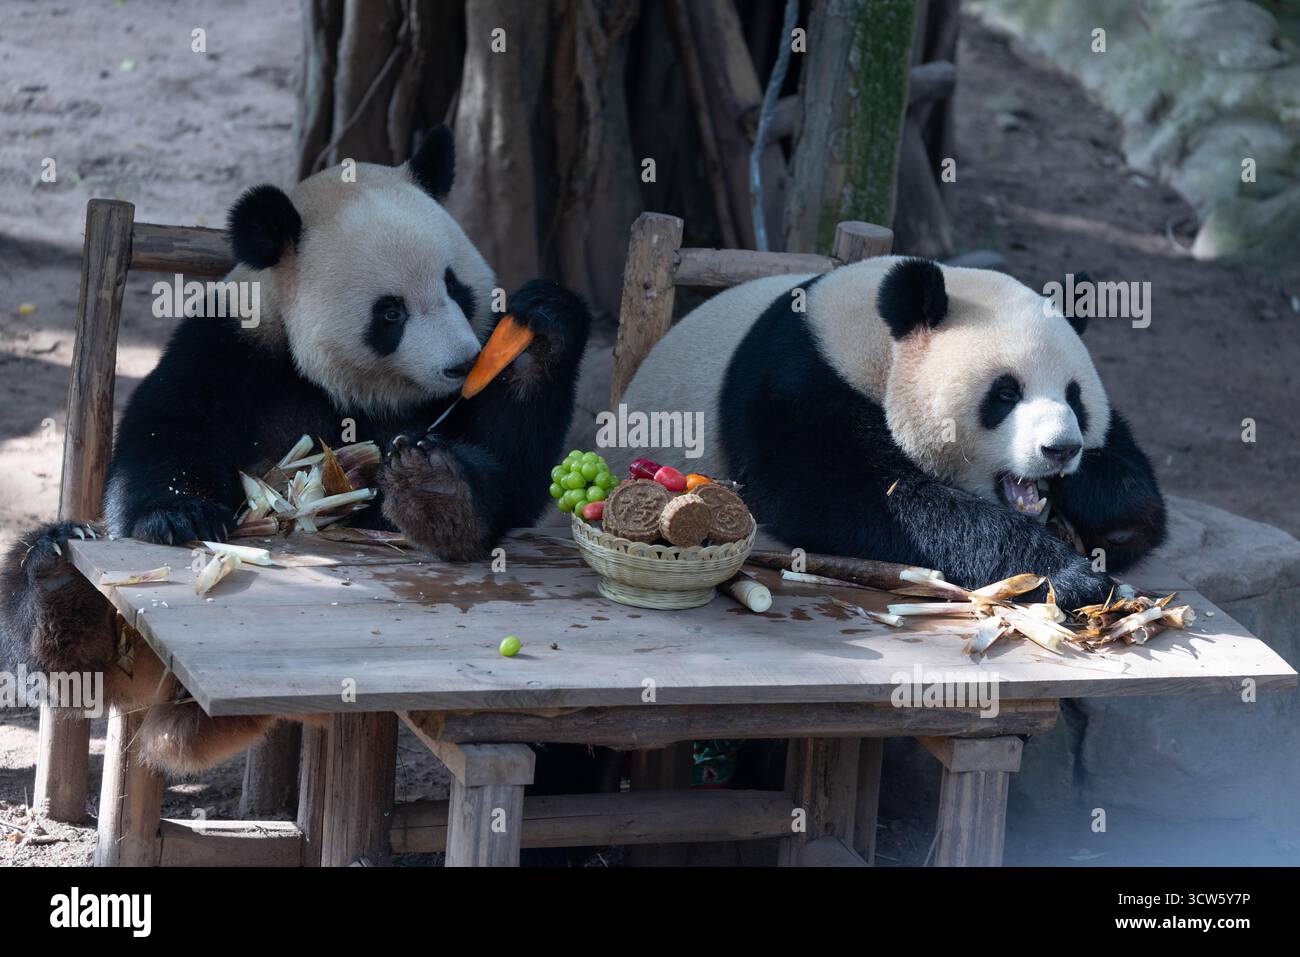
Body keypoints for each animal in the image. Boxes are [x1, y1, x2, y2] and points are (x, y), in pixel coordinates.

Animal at [0, 125, 591, 774]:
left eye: (456, 288)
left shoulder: (455, 400)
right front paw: (179, 515)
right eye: (390, 312)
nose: (462, 363)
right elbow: (169, 426)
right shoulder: (235, 345)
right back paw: (60, 588)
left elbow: (511, 472)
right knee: (45, 614)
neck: (362, 387)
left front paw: (536, 338)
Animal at [612, 257, 1166, 609]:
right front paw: (1075, 578)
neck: (876, 341)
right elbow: (863, 498)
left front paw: (1105, 514)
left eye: (1075, 396)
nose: (1060, 449)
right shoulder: (796, 387)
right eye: (1005, 393)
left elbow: (1137, 495)